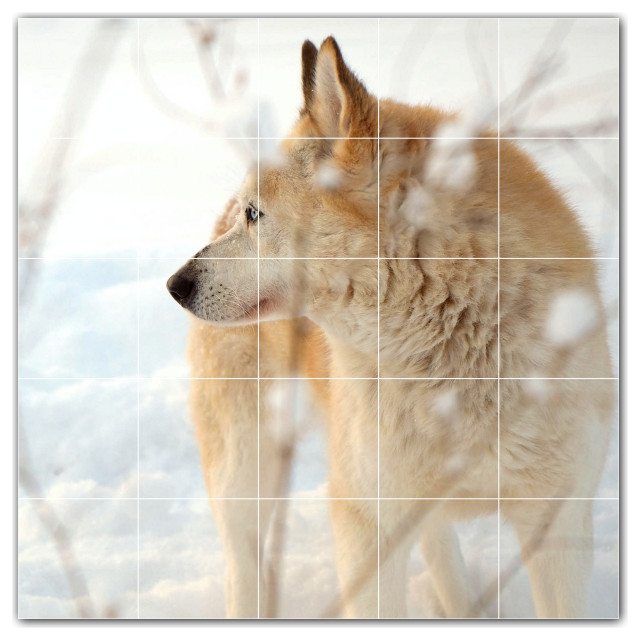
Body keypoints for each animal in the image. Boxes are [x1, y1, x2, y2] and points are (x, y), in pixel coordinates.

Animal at [167, 37, 614, 618]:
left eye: (255, 215)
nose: (176, 284)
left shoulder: (557, 522)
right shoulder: (366, 524)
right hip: (246, 469)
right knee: (241, 567)